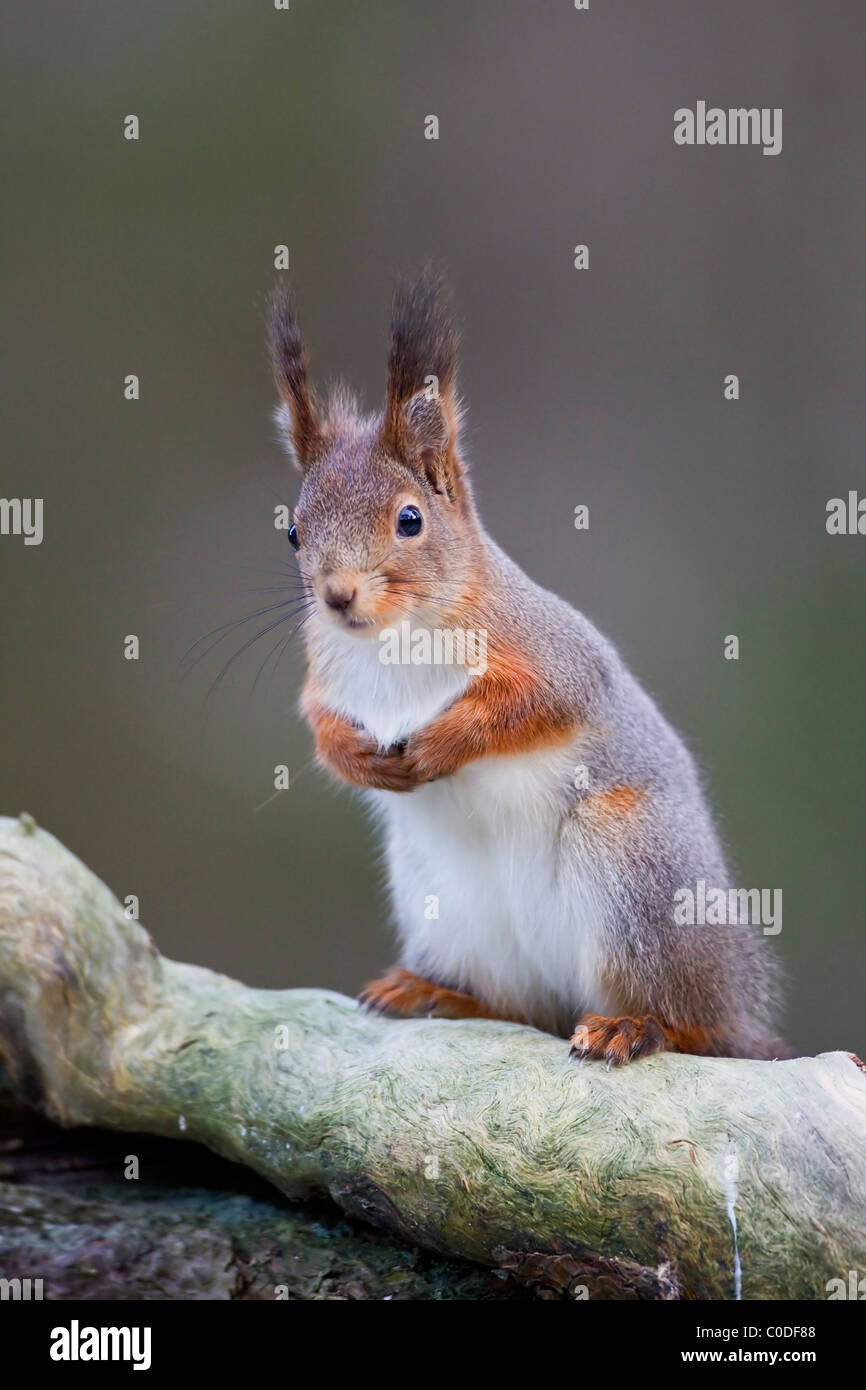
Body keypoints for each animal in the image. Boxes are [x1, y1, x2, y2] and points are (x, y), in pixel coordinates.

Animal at [268, 269, 786, 1065]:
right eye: (293, 530)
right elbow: (320, 722)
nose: (337, 596)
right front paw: (357, 756)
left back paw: (635, 1026)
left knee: (686, 1022)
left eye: (410, 520)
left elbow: (544, 703)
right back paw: (434, 992)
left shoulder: (551, 653)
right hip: (446, 905)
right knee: (520, 1005)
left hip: (634, 873)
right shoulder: (328, 672)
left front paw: (441, 744)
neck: (392, 638)